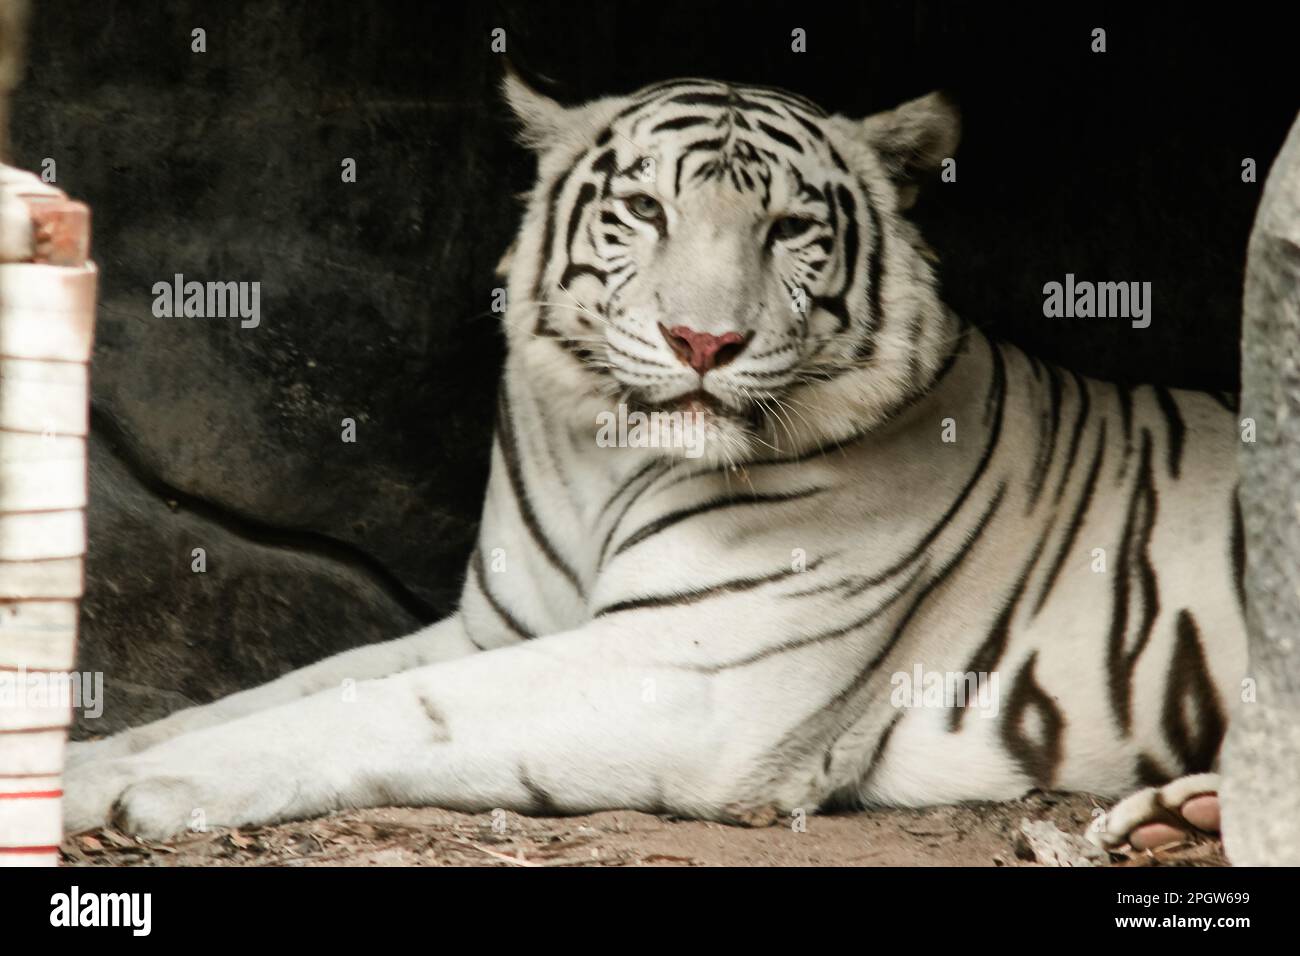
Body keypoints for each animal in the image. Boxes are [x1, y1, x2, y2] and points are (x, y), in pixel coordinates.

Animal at [64, 74, 1247, 855]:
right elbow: (283, 687)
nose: (703, 342)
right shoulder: (499, 626)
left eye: (788, 229)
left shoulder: (694, 668)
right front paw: (87, 761)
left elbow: (391, 710)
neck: (604, 461)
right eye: (644, 210)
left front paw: (140, 788)